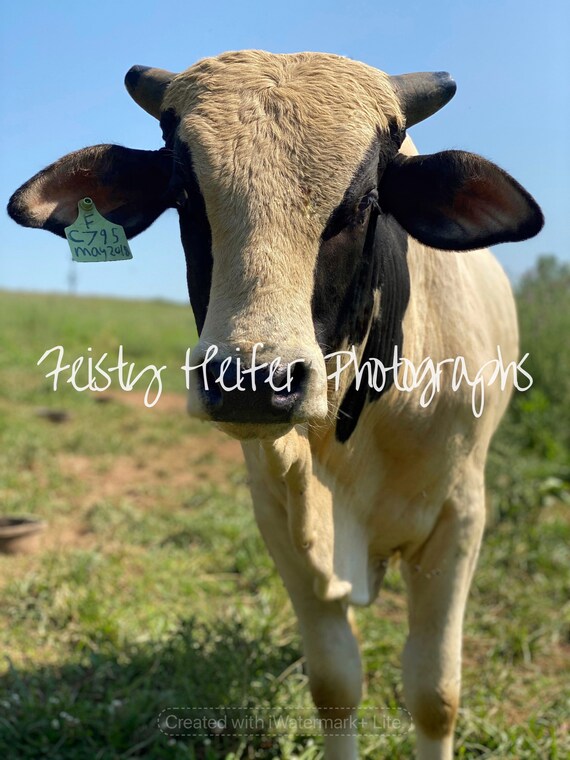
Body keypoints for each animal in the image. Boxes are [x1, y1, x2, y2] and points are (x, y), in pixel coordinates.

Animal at [8, 50, 543, 759]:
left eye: (366, 203)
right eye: (184, 196)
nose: (252, 379)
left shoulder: (460, 517)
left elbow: (435, 696)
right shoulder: (282, 518)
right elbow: (336, 686)